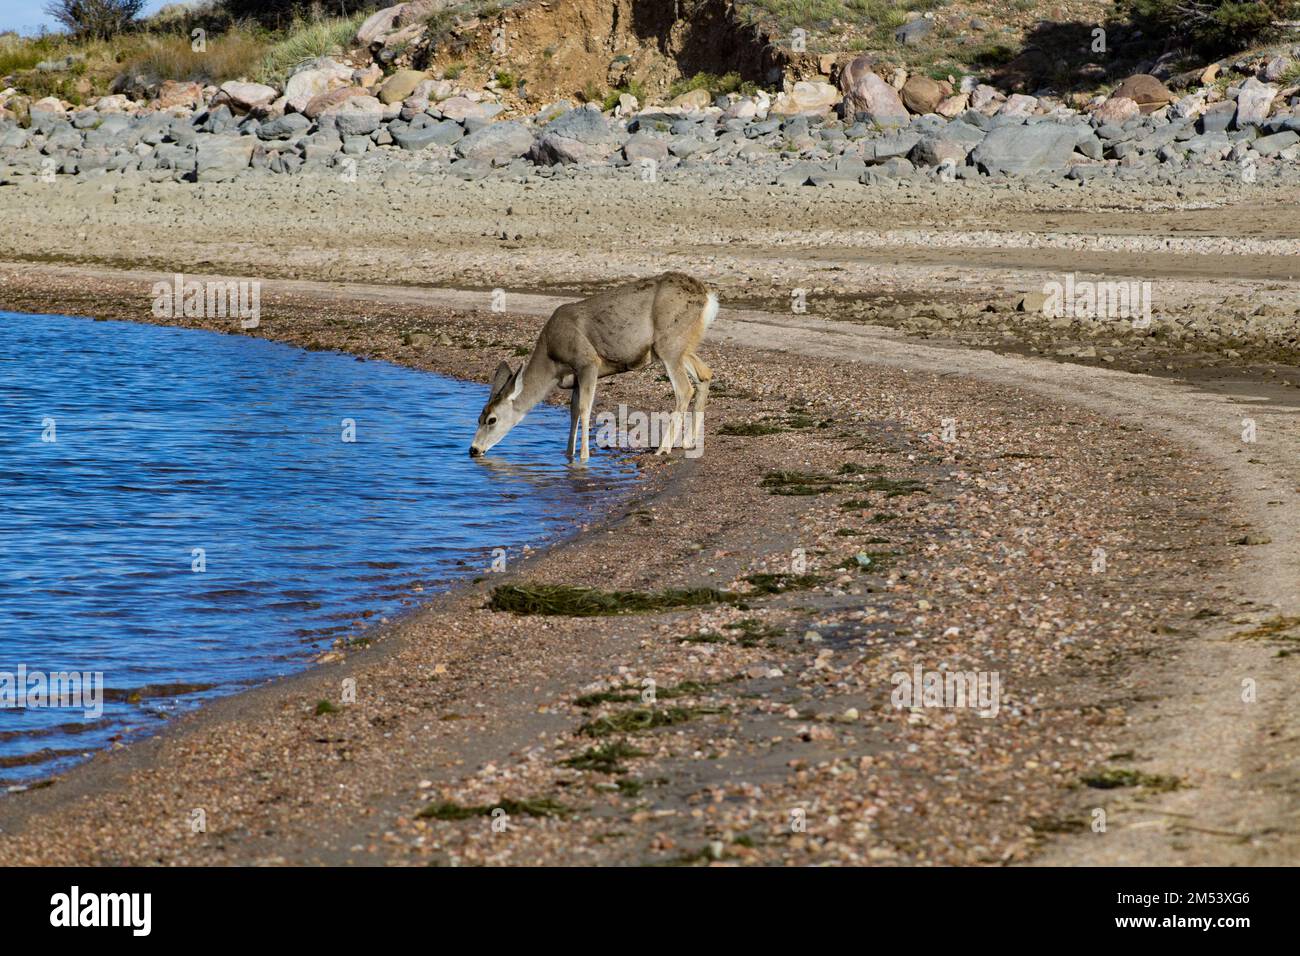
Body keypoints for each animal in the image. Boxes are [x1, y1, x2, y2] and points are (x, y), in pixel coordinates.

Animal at [469, 272, 717, 461]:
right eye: (478, 417)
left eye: (492, 419)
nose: (473, 450)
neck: (552, 363)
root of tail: (708, 297)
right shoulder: (575, 378)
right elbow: (573, 411)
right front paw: (568, 455)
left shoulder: (588, 362)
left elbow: (584, 409)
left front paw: (583, 457)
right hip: (682, 345)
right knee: (705, 374)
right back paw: (688, 442)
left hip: (669, 344)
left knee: (684, 389)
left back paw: (663, 448)